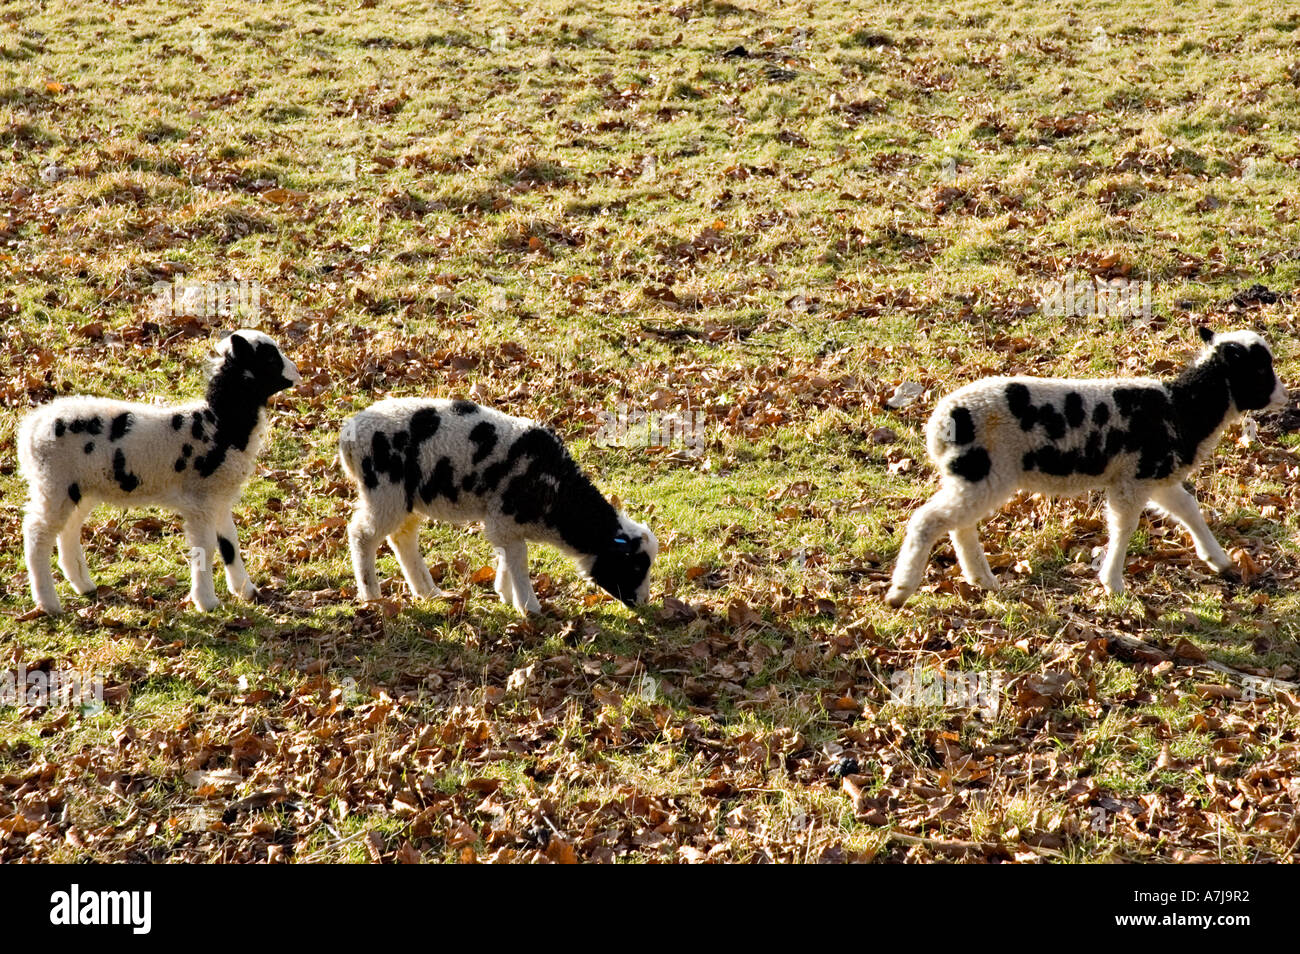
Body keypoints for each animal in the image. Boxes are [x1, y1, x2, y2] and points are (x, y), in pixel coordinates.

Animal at [18, 330, 301, 615]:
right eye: (269, 358)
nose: (297, 371)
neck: (221, 423)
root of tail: (32, 427)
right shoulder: (200, 501)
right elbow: (206, 548)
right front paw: (207, 602)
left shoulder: (219, 498)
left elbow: (230, 544)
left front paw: (246, 591)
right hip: (53, 483)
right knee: (37, 534)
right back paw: (48, 602)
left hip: (78, 488)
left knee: (68, 530)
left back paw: (84, 585)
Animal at [339, 397, 657, 614]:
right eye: (635, 565)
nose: (643, 603)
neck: (561, 497)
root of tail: (349, 436)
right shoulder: (504, 517)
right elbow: (519, 561)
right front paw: (530, 607)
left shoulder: (504, 524)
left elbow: (508, 555)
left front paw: (505, 593)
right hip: (385, 490)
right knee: (362, 535)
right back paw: (371, 595)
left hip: (405, 499)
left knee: (402, 537)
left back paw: (428, 592)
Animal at [886, 328, 1287, 607]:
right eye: (1259, 368)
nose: (1284, 396)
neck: (1184, 405)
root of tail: (942, 421)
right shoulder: (1132, 480)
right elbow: (1125, 527)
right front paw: (1113, 582)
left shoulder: (1154, 475)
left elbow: (1189, 509)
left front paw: (1220, 561)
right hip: (983, 472)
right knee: (928, 521)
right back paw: (901, 591)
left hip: (973, 476)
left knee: (958, 524)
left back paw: (981, 579)